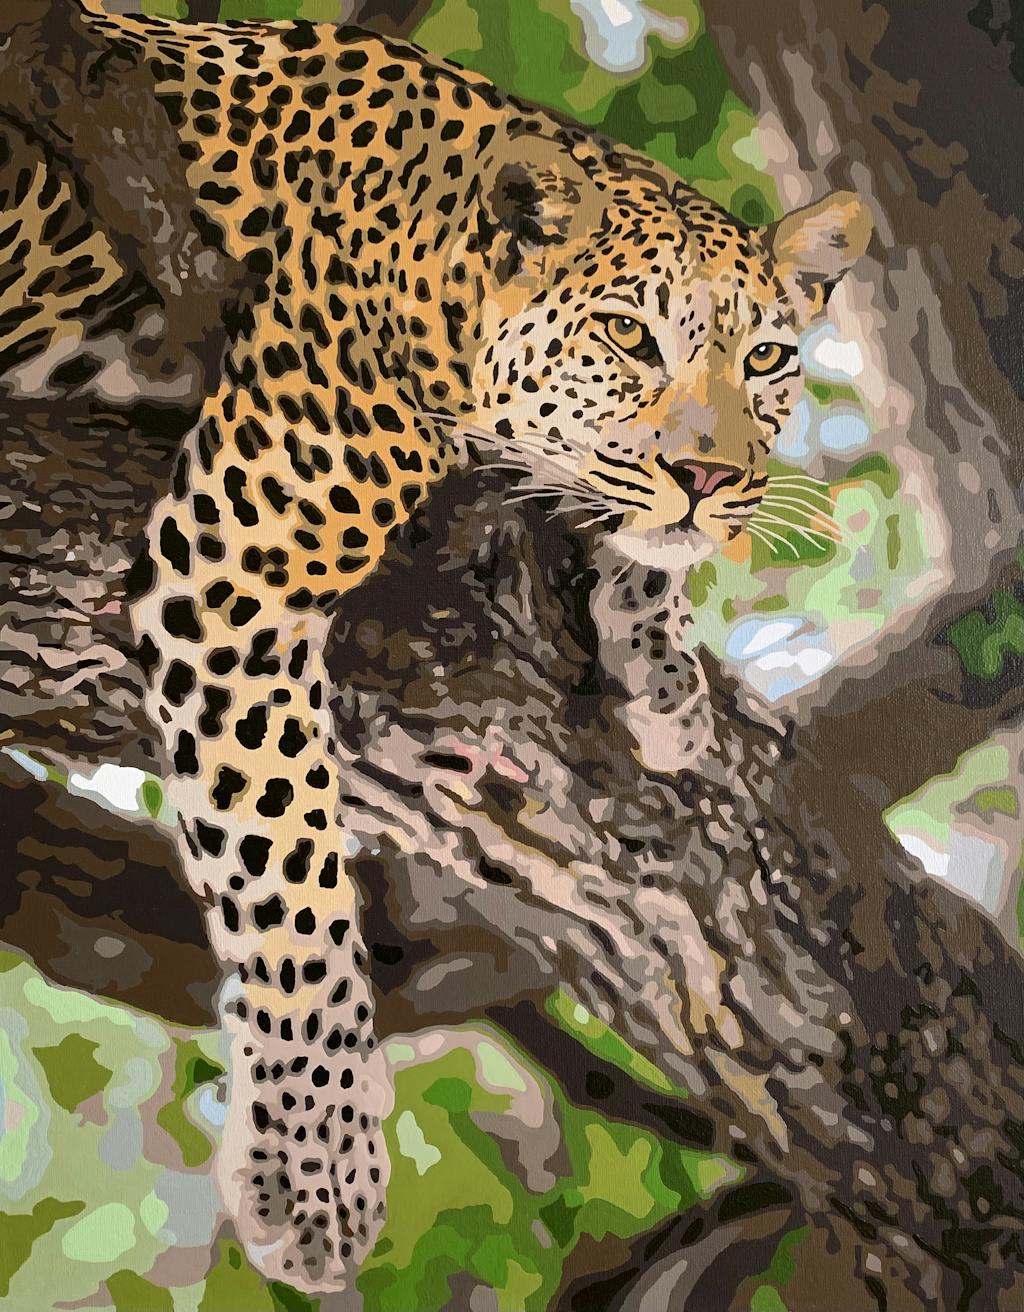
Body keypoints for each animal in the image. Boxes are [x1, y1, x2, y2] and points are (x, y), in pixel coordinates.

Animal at [8, 0, 870, 1293]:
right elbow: (289, 872)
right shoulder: (236, 574)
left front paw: (661, 661)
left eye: (765, 360)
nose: (712, 476)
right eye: (626, 335)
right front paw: (314, 1165)